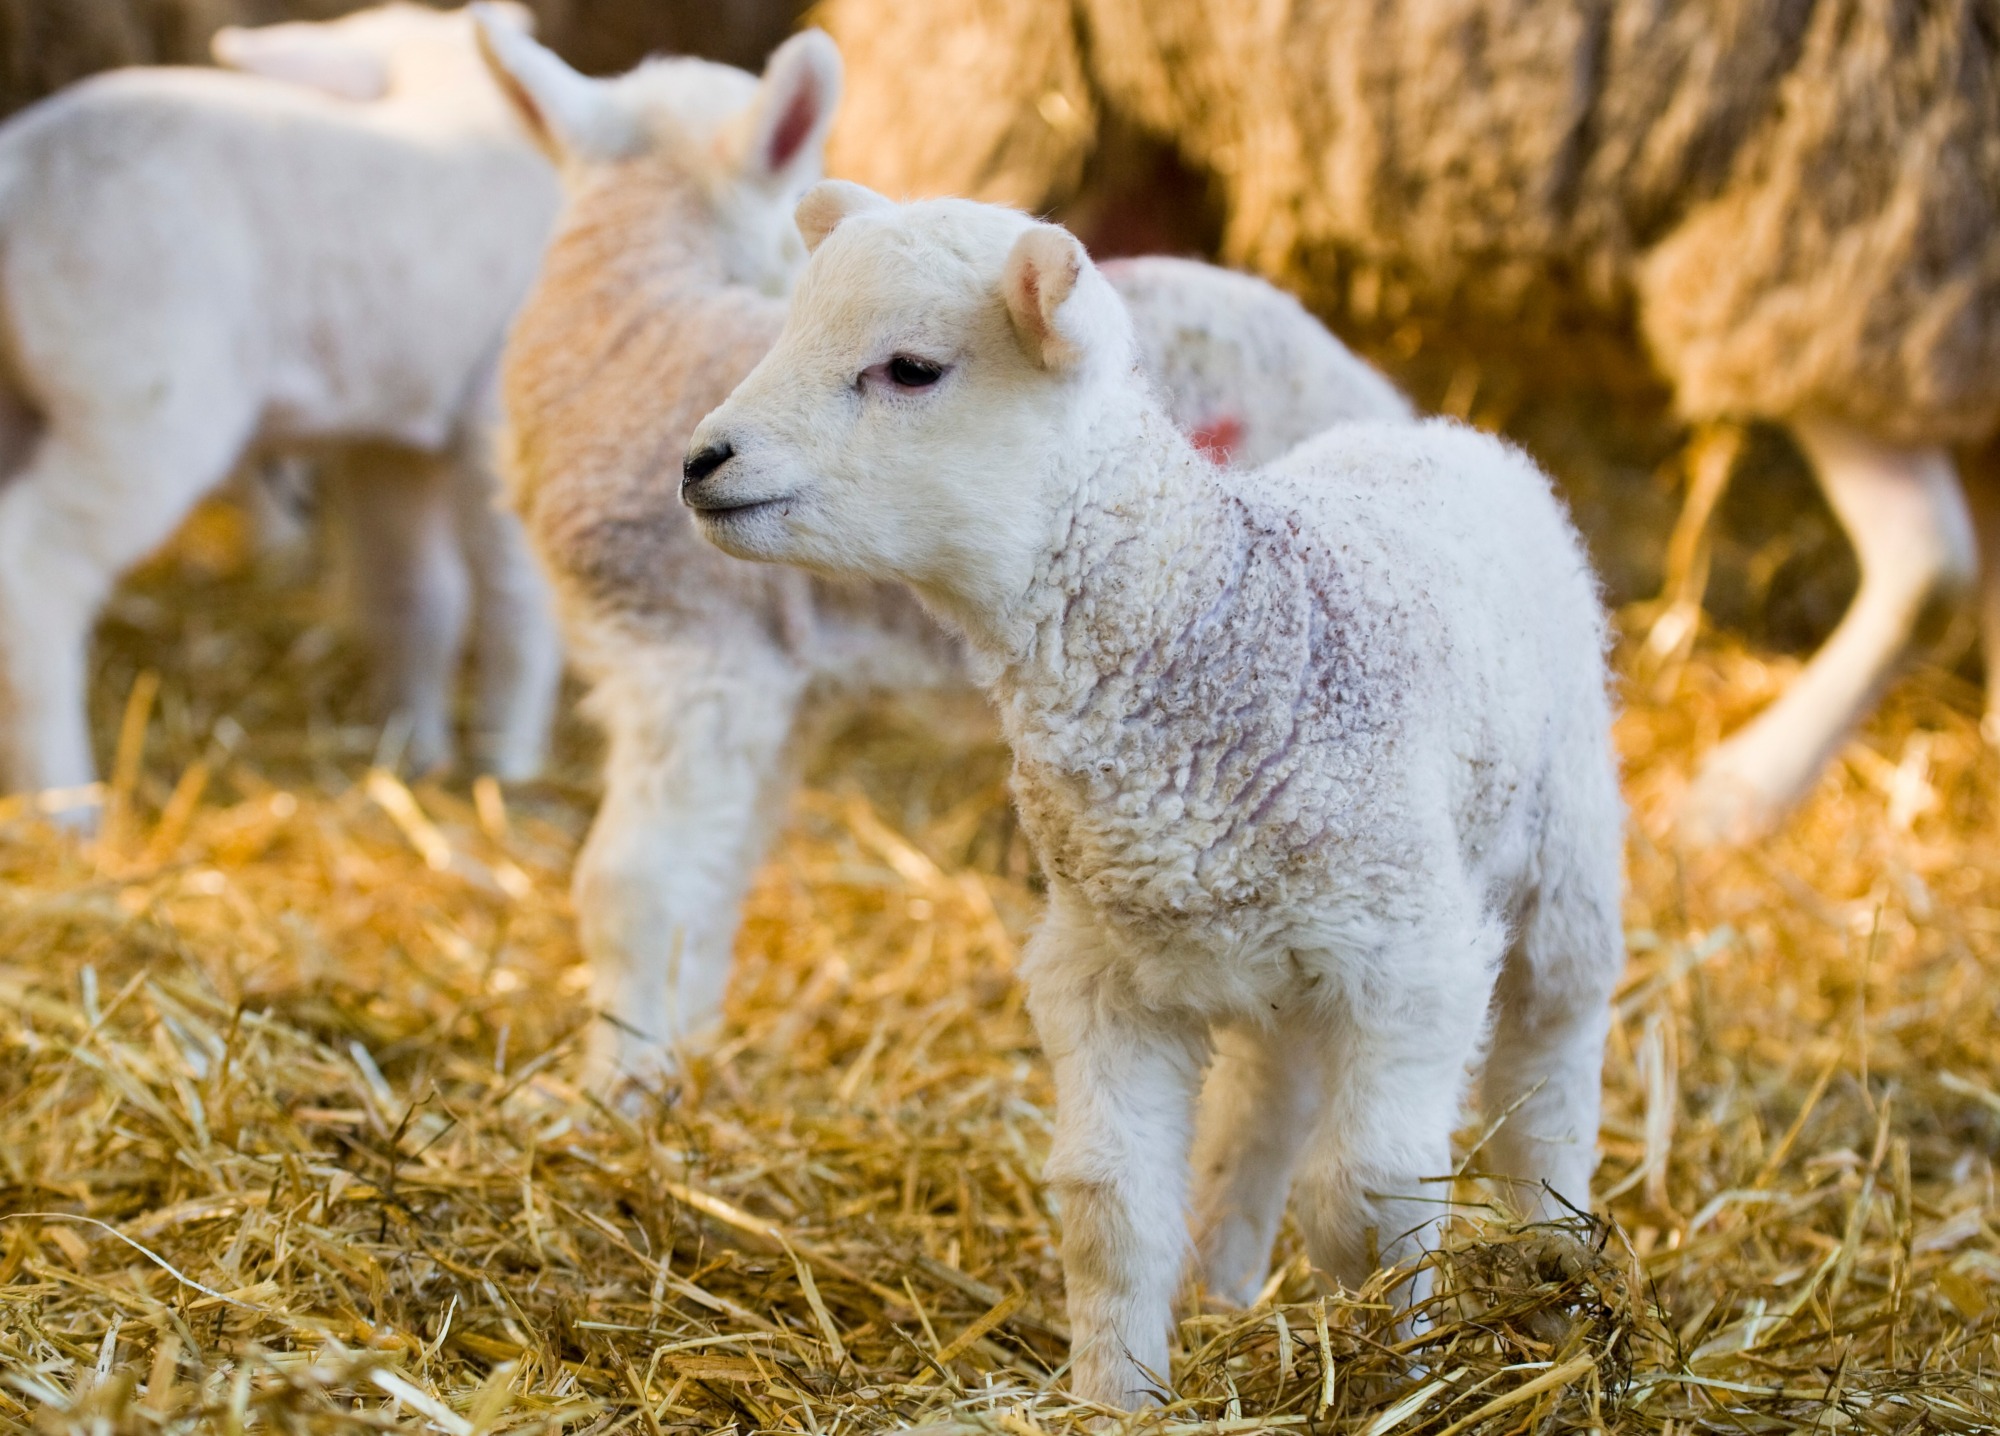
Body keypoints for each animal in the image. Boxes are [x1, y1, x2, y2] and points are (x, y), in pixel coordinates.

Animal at [0, 1, 564, 808]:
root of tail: (19, 174)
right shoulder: (497, 410)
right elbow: (516, 599)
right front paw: (508, 764)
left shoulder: (390, 439)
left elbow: (417, 597)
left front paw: (415, 751)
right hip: (138, 404)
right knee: (34, 572)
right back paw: (62, 801)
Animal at [473, 10, 1412, 1087]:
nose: (704, 462)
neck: (636, 327)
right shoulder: (778, 685)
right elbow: (718, 876)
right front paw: (692, 1045)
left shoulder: (693, 654)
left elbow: (632, 882)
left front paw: (614, 1083)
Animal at [681, 183, 1625, 1408]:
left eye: (910, 369)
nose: (699, 459)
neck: (1209, 622)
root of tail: (1450, 432)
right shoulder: (1106, 973)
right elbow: (1110, 1208)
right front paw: (1115, 1394)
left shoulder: (1411, 957)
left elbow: (1372, 1190)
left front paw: (1393, 1357)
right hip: (1282, 958)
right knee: (1267, 1105)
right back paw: (1226, 1277)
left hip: (1563, 852)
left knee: (1550, 1062)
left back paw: (1554, 1264)